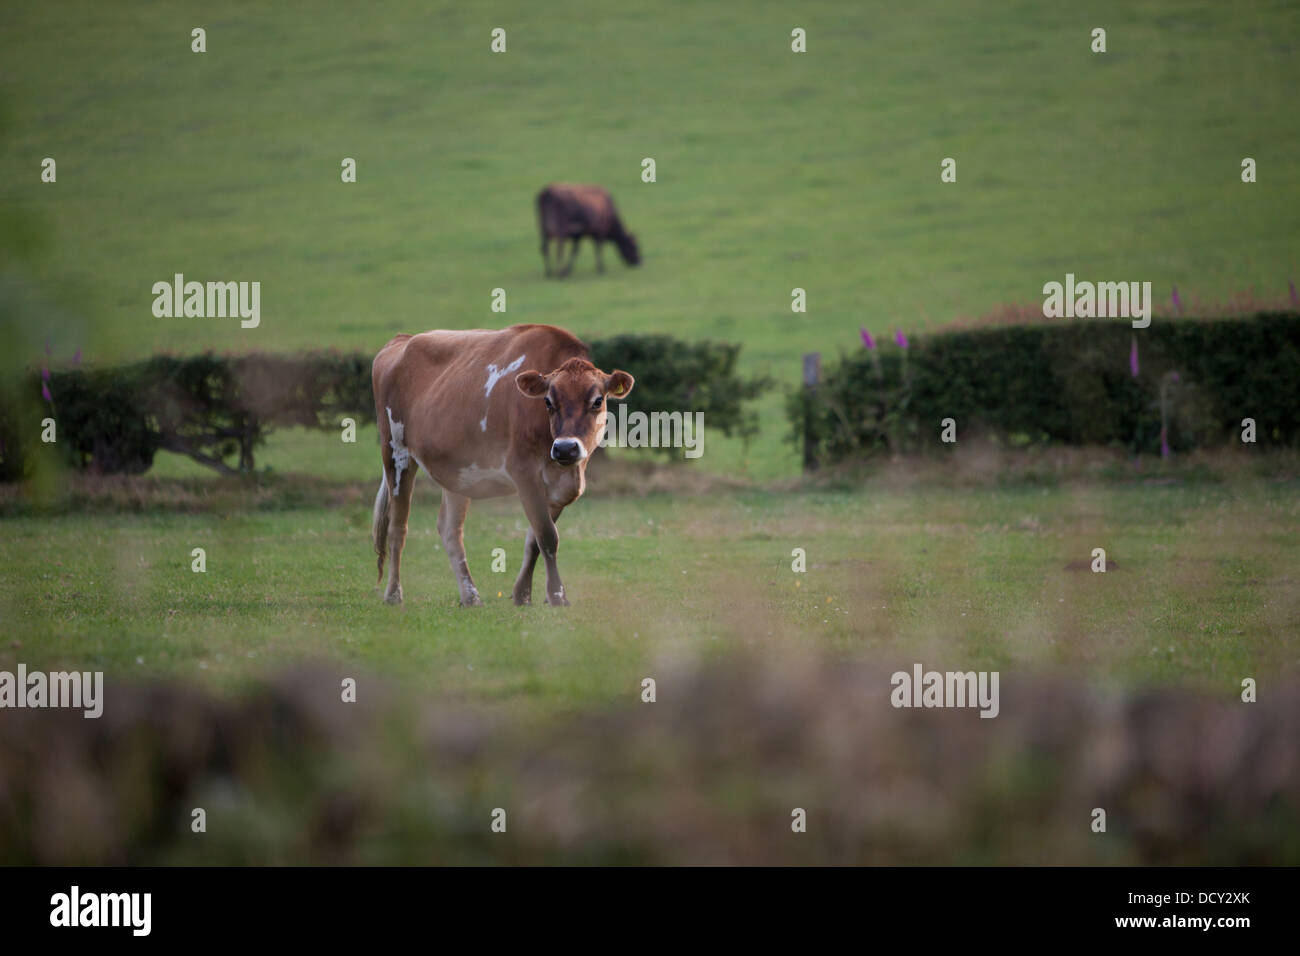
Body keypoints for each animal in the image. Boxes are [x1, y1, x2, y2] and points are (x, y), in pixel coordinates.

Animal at [371, 323, 635, 607]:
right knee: (398, 527)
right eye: (548, 401)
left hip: (456, 470)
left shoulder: (560, 487)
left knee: (450, 529)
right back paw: (393, 594)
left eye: (597, 401)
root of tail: (401, 340)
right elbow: (548, 536)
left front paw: (522, 594)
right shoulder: (524, 474)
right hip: (396, 453)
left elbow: (535, 540)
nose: (565, 448)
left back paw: (470, 596)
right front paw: (557, 596)